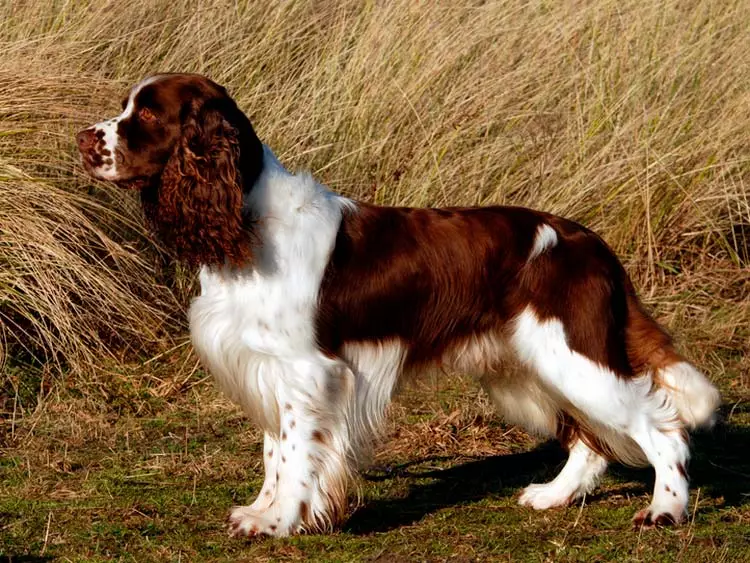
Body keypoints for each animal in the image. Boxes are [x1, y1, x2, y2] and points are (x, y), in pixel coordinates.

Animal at [78, 74, 724, 536]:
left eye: (149, 115)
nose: (84, 141)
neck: (245, 221)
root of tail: (592, 244)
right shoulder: (269, 366)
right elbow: (274, 452)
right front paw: (263, 512)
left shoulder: (307, 371)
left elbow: (294, 452)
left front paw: (282, 522)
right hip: (534, 363)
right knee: (592, 440)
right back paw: (552, 496)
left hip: (573, 354)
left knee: (661, 428)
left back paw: (665, 511)